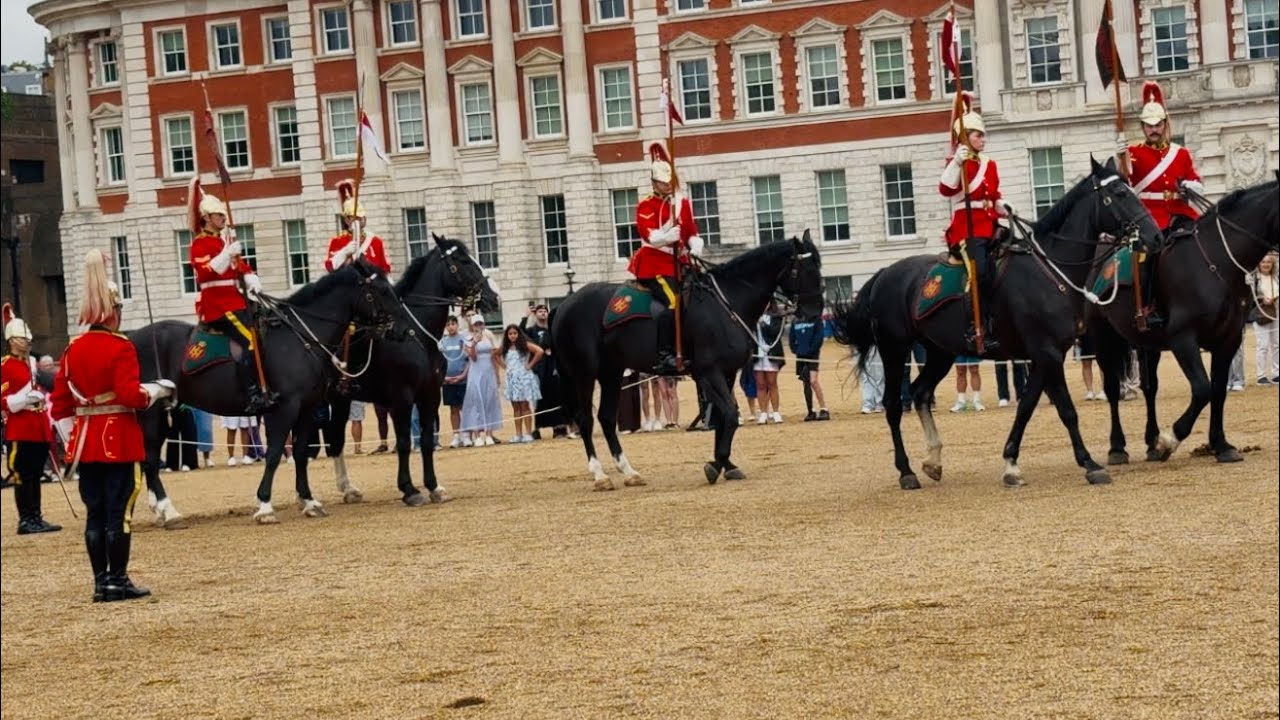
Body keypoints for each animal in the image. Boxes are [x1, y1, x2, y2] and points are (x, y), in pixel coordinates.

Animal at [132, 260, 406, 524]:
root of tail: (131, 338)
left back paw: (160, 510)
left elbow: (300, 452)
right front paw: (264, 506)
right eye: (381, 291)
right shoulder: (285, 407)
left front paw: (309, 501)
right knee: (149, 461)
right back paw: (169, 512)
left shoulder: (308, 407)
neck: (301, 338)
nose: (404, 330)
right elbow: (274, 454)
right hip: (150, 412)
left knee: (149, 458)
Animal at [322, 234, 500, 507]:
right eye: (462, 261)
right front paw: (409, 489)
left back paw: (348, 489)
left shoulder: (430, 395)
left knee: (336, 439)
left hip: (341, 398)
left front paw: (434, 486)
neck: (417, 335)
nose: (493, 297)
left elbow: (426, 440)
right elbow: (405, 442)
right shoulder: (401, 398)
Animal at [550, 232, 825, 489]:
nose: (814, 313)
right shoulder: (709, 372)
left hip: (612, 373)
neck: (726, 304)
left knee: (606, 418)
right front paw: (717, 463)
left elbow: (725, 416)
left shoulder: (726, 373)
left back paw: (629, 472)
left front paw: (725, 463)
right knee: (586, 420)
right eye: (804, 269)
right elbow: (729, 414)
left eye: (818, 267)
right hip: (584, 374)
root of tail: (565, 304)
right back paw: (600, 475)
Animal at [832, 156, 1162, 489]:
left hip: (940, 352)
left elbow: (1026, 406)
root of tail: (884, 273)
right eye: (1119, 193)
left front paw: (1011, 462)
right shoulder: (1047, 353)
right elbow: (1067, 410)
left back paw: (933, 460)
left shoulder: (1045, 355)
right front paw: (1089, 463)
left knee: (920, 392)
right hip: (894, 349)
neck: (1050, 270)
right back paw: (906, 471)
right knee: (893, 404)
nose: (1155, 236)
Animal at [1088, 177, 1280, 465]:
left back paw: (1151, 442)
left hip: (1147, 343)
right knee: (1112, 388)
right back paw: (1117, 448)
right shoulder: (1183, 339)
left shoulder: (1228, 340)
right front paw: (1171, 439)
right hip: (1102, 336)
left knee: (1150, 387)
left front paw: (1221, 445)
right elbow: (1202, 389)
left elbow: (1218, 390)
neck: (1218, 261)